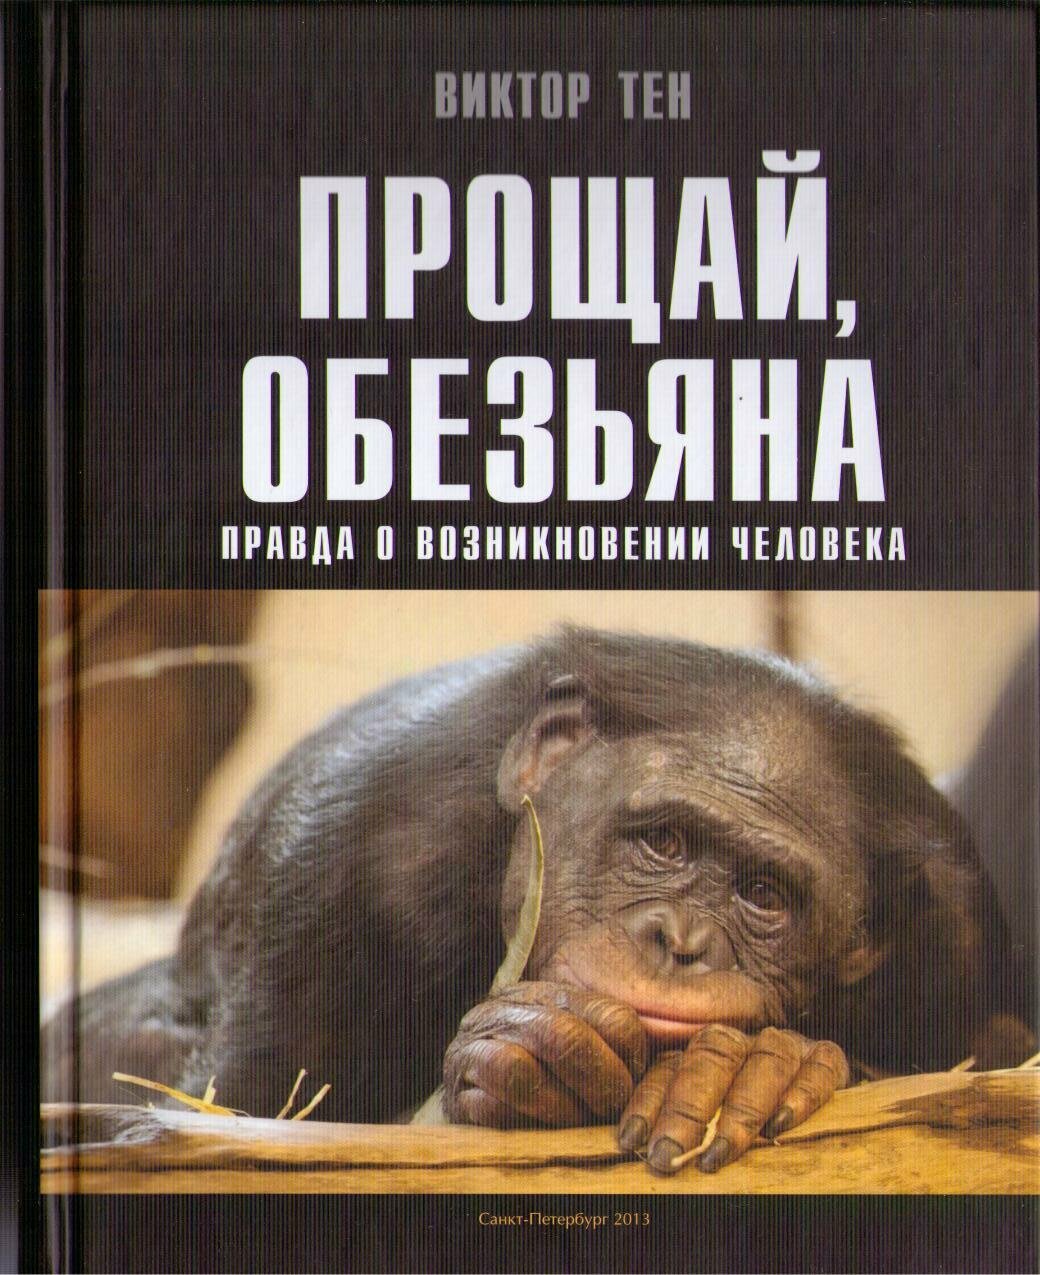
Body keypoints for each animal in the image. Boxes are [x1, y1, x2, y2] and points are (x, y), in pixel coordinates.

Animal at [42, 628, 1032, 1174]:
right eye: (664, 841)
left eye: (763, 894)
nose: (681, 939)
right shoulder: (335, 853)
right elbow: (242, 1117)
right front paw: (526, 1045)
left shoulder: (956, 928)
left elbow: (982, 1065)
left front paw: (759, 1067)